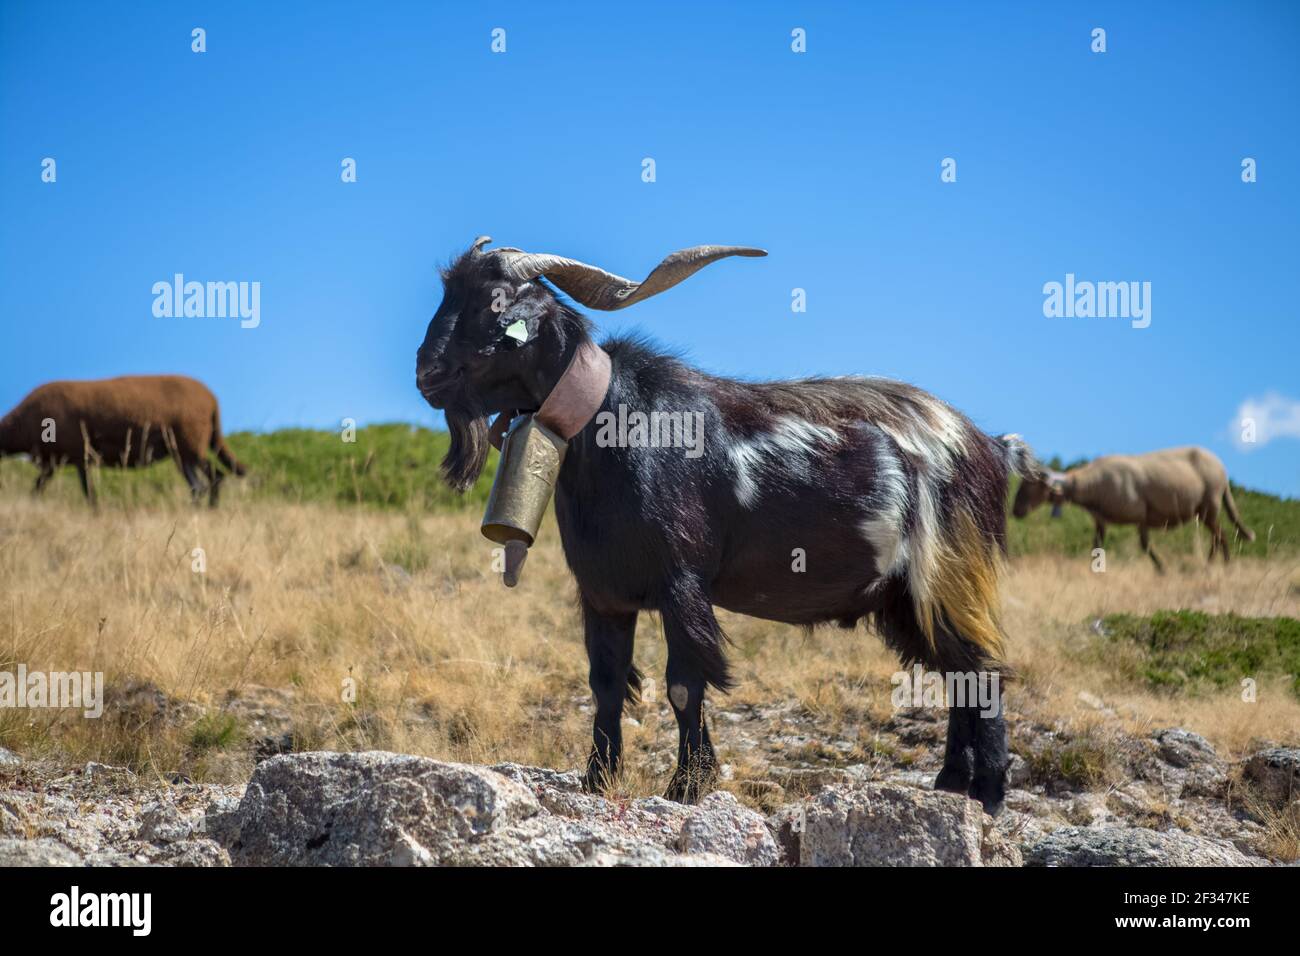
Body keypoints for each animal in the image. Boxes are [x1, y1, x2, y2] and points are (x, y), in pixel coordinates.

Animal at [0, 375, 246, 507]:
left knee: (215, 477)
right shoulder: (54, 462)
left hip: (191, 446)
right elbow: (37, 488)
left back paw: (209, 512)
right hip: (181, 454)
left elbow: (89, 493)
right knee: (198, 486)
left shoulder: (79, 456)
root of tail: (211, 397)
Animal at [416, 238, 1041, 814]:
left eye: (498, 301)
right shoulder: (603, 593)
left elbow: (684, 683)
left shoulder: (682, 583)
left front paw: (687, 787)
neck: (614, 426)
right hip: (905, 598)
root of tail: (992, 447)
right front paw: (597, 780)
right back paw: (951, 786)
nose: (427, 372)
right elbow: (606, 684)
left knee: (982, 670)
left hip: (948, 571)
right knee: (957, 673)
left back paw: (988, 795)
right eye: (448, 293)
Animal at [1012, 445, 1255, 570]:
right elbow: (1096, 546)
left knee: (1220, 535)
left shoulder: (1140, 516)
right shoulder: (1101, 521)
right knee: (1218, 535)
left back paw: (1220, 564)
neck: (1092, 485)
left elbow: (1145, 546)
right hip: (1204, 510)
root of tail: (1222, 469)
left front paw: (1161, 569)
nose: (1015, 511)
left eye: (1031, 484)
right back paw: (1213, 563)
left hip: (1209, 505)